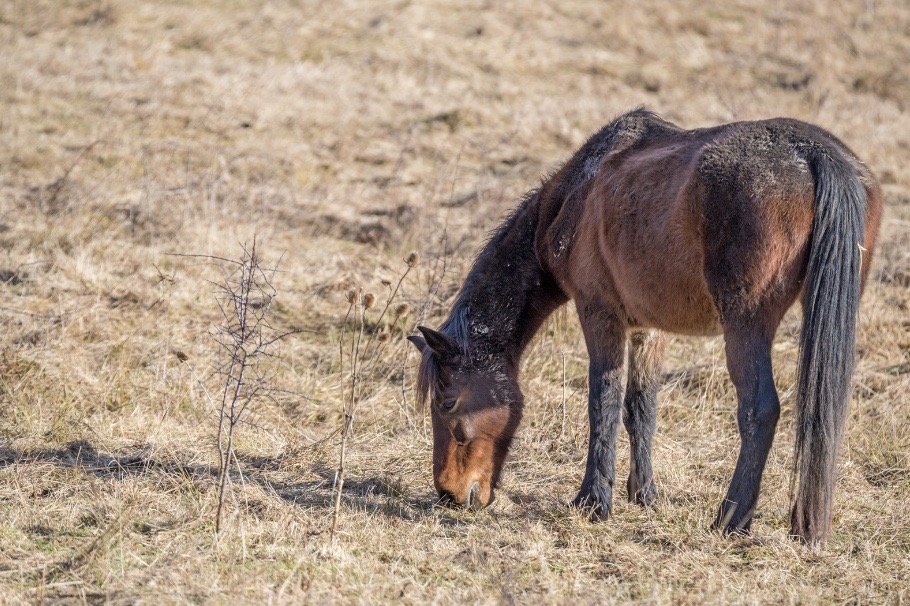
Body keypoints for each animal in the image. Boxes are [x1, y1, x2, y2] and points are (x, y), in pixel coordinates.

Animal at [407, 109, 882, 546]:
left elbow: (603, 402)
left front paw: (593, 501)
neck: (573, 197)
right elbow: (641, 408)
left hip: (746, 325)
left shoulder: (599, 315)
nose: (448, 494)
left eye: (447, 403)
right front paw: (644, 495)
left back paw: (730, 520)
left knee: (759, 410)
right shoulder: (647, 329)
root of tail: (817, 154)